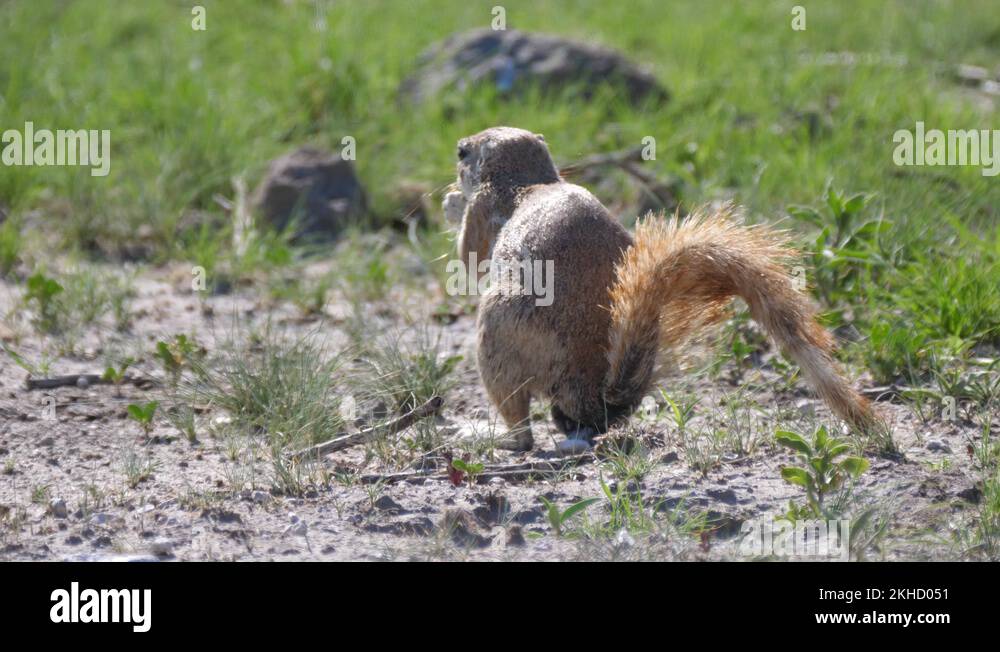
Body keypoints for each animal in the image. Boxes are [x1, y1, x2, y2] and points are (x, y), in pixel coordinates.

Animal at [443, 126, 878, 452]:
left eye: (463, 152)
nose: (457, 150)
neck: (531, 180)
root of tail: (594, 397)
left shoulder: (484, 209)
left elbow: (469, 257)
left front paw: (451, 203)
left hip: (496, 334)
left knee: (523, 431)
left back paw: (491, 437)